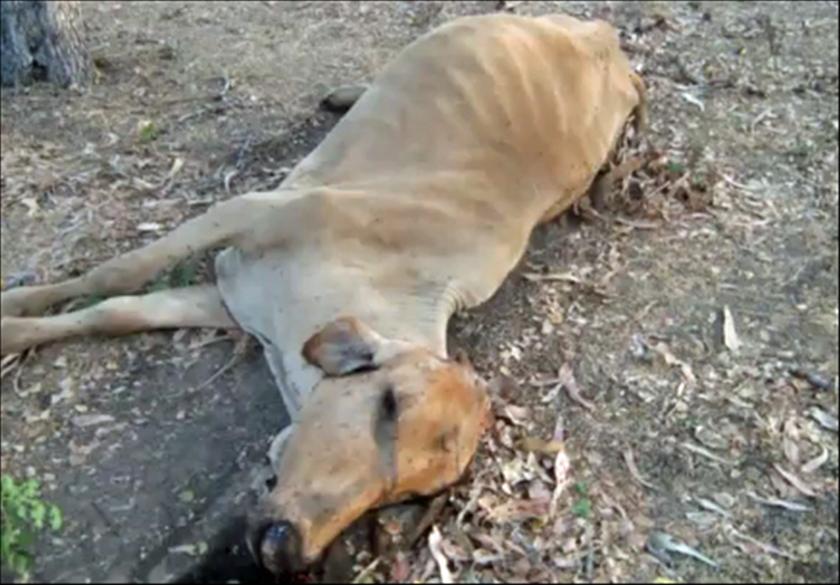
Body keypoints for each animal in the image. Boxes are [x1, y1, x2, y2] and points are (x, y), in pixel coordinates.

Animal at [0, 12, 646, 576]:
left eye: (410, 494)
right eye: (388, 405)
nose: (291, 547)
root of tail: (603, 37)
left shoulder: (233, 302)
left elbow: (116, 311)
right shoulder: (243, 217)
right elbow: (111, 283)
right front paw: (13, 315)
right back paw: (345, 95)